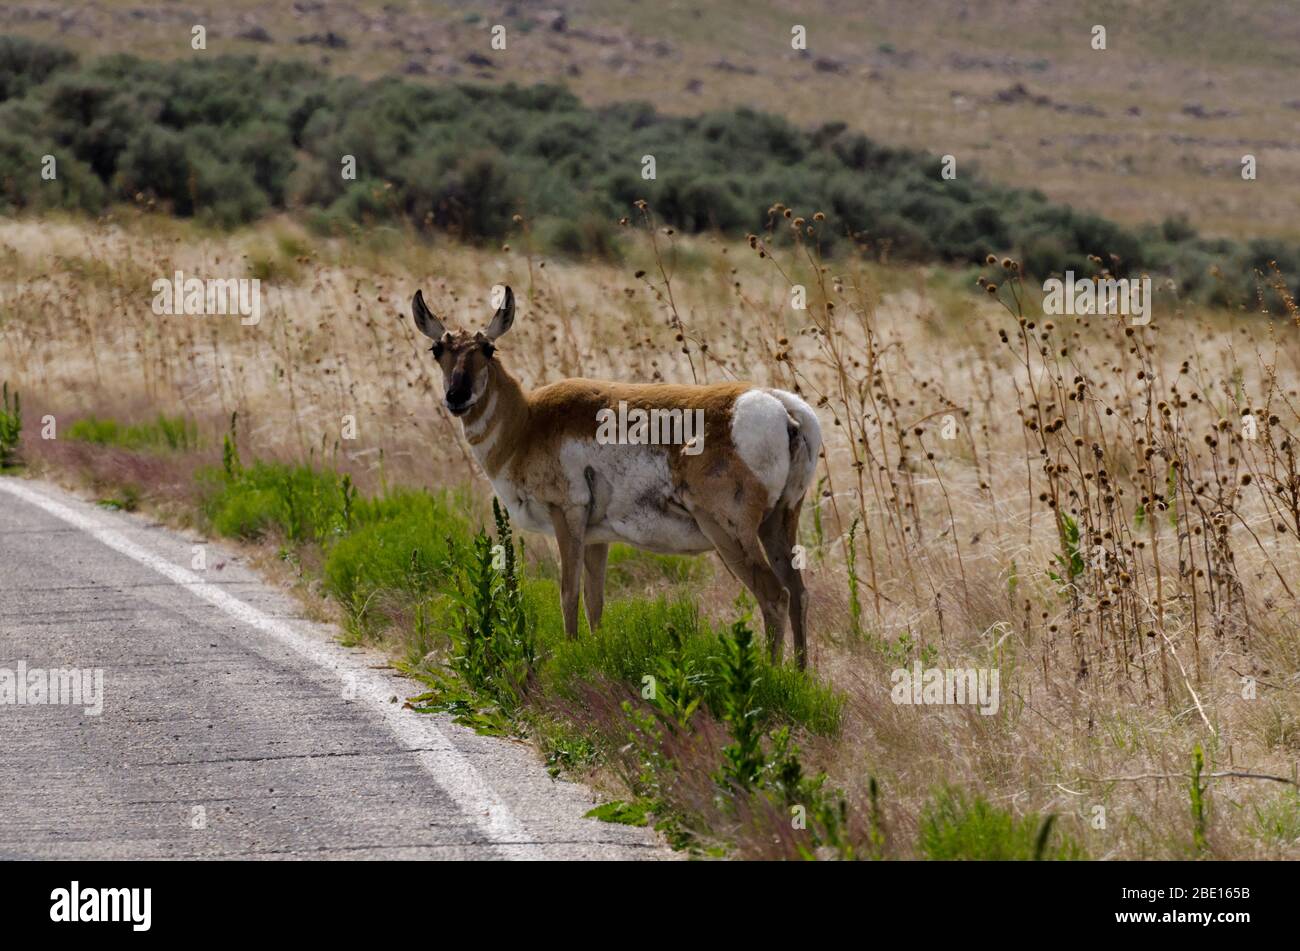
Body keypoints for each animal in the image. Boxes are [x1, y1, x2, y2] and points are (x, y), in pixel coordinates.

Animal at [412, 285, 822, 668]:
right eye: (438, 349)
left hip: (729, 532)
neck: (527, 422)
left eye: (488, 349)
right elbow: (595, 601)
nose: (456, 396)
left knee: (774, 596)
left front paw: (571, 653)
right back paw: (799, 677)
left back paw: (770, 675)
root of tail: (781, 406)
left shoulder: (567, 517)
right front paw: (596, 653)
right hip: (778, 524)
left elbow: (568, 593)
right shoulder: (597, 538)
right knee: (799, 593)